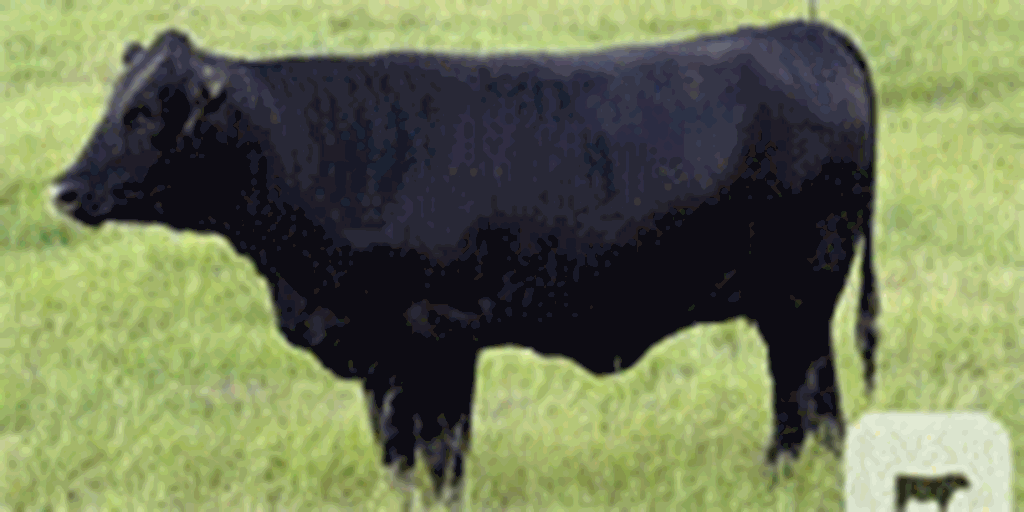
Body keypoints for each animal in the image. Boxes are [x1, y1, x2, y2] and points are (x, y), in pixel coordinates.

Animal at [52, 20, 879, 501]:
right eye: (113, 102)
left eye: (144, 114)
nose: (62, 189)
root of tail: (802, 31)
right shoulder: (379, 352)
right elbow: (395, 455)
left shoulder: (443, 335)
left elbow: (443, 454)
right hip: (785, 303)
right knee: (805, 400)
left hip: (804, 292)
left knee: (811, 399)